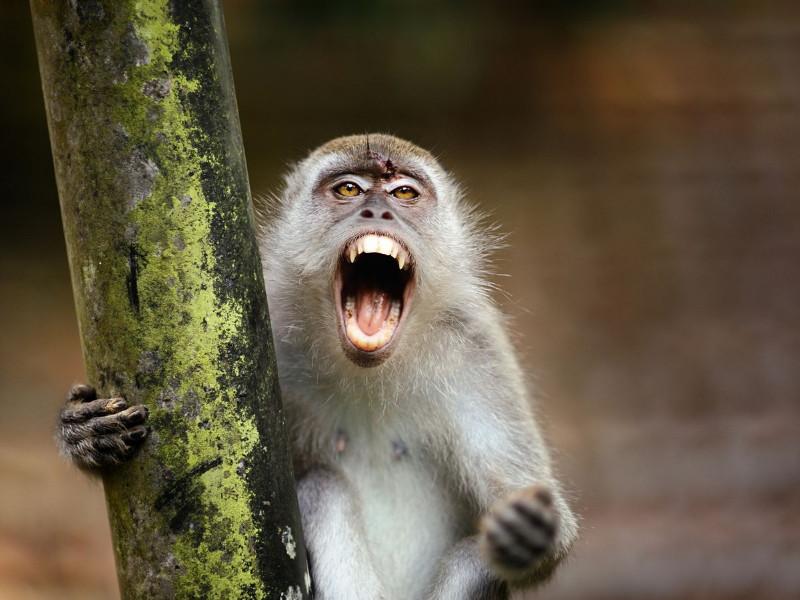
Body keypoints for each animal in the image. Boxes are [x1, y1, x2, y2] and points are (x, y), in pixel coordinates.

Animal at [58, 134, 578, 599]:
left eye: (404, 193)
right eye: (348, 189)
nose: (378, 211)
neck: (367, 372)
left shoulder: (477, 353)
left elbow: (540, 521)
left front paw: (532, 533)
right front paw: (84, 432)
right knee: (324, 488)